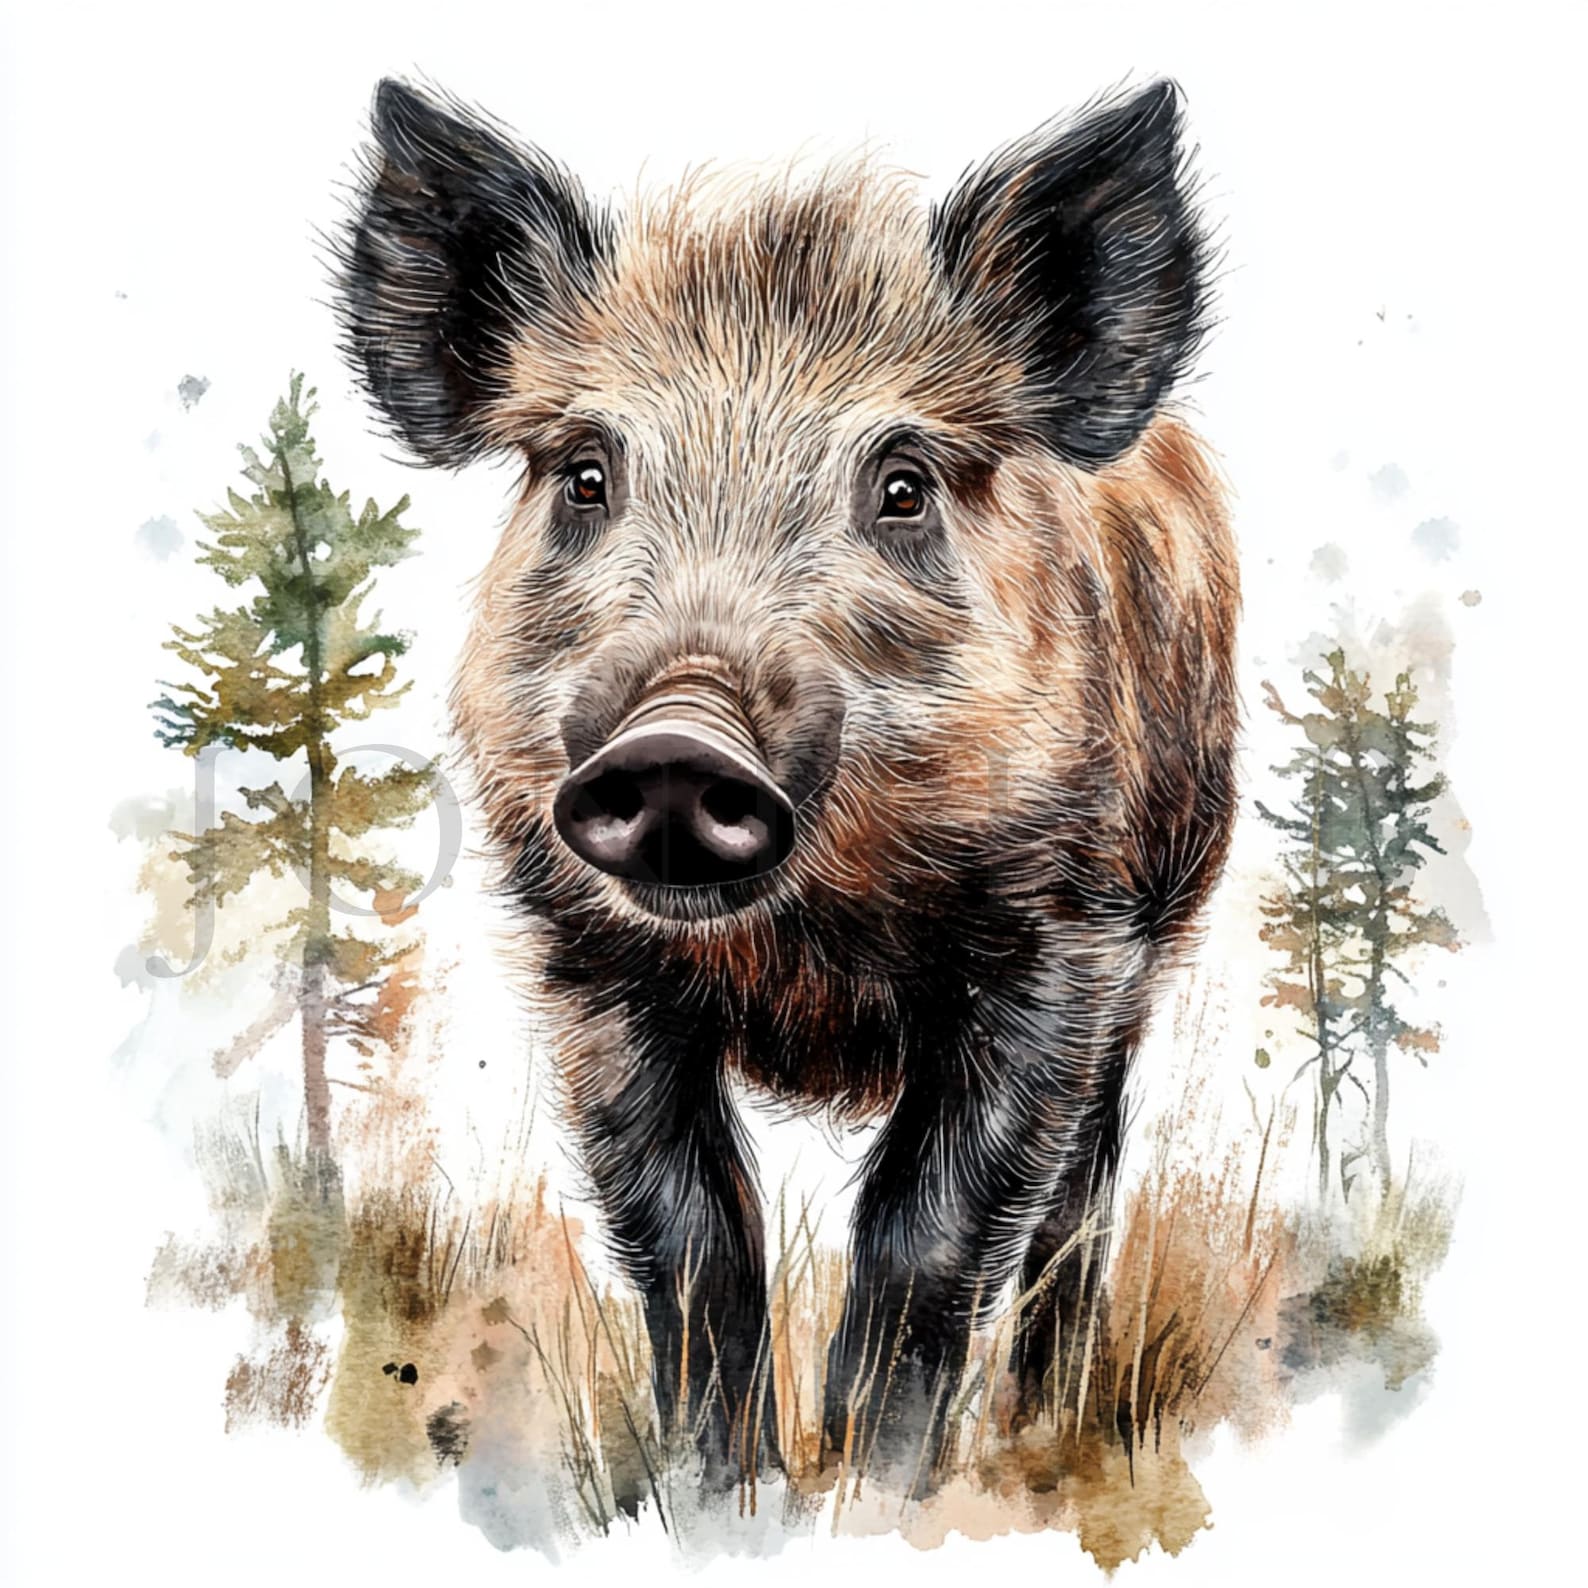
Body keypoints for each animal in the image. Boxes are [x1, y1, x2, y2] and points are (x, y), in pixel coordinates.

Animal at [337, 76, 1239, 1488]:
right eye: (586, 475)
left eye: (902, 485)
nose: (676, 743)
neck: (804, 957)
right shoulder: (587, 965)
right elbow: (693, 1235)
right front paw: (721, 1489)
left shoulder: (1063, 941)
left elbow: (928, 1223)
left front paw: (874, 1485)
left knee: (1082, 1193)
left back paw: (1047, 1425)